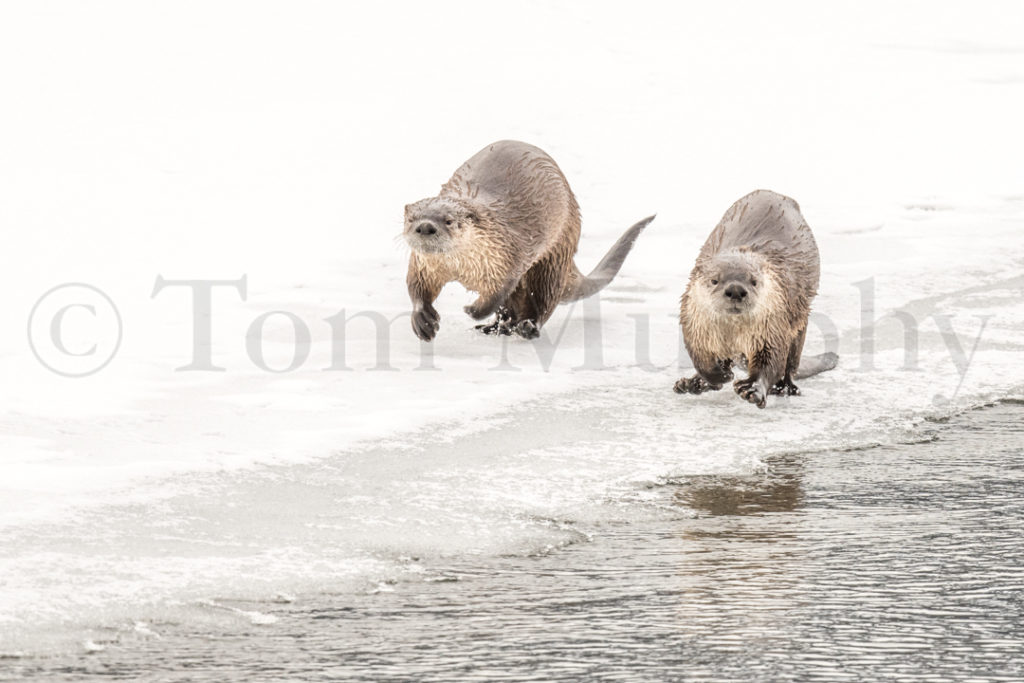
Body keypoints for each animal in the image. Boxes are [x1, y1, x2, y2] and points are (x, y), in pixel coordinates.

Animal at [403, 140, 655, 341]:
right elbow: (417, 286)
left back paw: (527, 327)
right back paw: (494, 327)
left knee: (543, 300)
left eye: (448, 220)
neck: (463, 267)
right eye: (411, 218)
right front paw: (423, 320)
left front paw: (473, 309)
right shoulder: (424, 265)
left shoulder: (509, 254)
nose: (425, 226)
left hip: (554, 257)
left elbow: (499, 291)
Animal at [674, 190, 837, 408]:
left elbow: (771, 360)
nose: (735, 290)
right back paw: (691, 384)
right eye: (715, 280)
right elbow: (700, 357)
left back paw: (785, 388)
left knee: (791, 362)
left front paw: (752, 388)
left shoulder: (773, 325)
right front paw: (719, 376)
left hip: (799, 325)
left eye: (754, 281)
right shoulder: (694, 321)